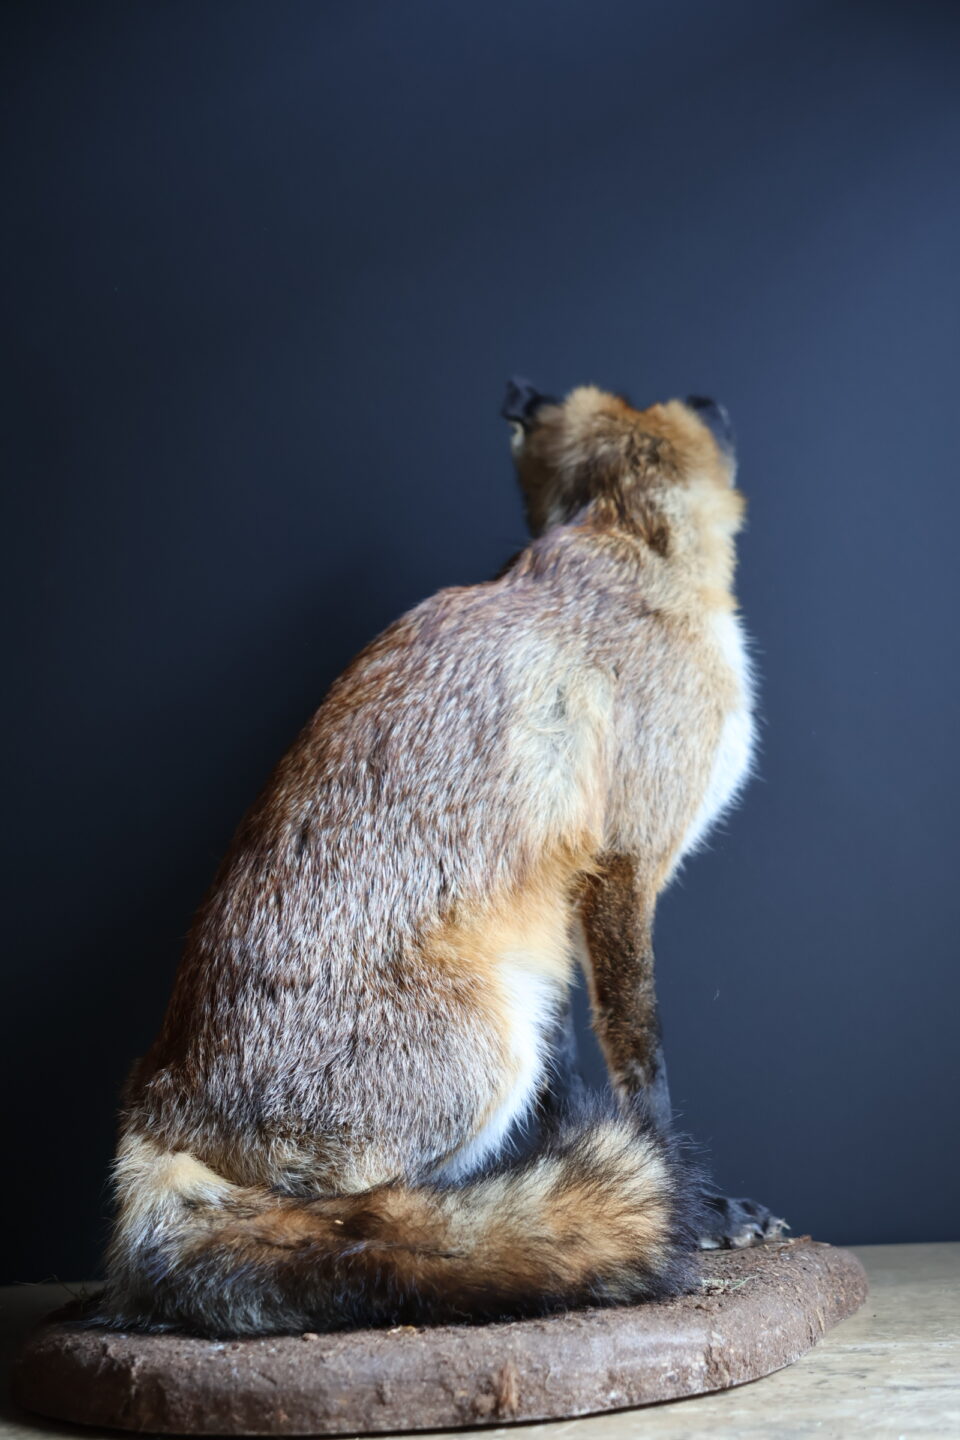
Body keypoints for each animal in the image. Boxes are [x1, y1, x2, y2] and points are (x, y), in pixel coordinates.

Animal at [100, 379, 784, 1338]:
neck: (609, 542)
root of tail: (157, 1103)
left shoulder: (556, 904)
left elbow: (578, 1072)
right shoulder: (623, 861)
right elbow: (644, 1064)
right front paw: (693, 1197)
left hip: (518, 998)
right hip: (491, 1043)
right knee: (358, 1216)